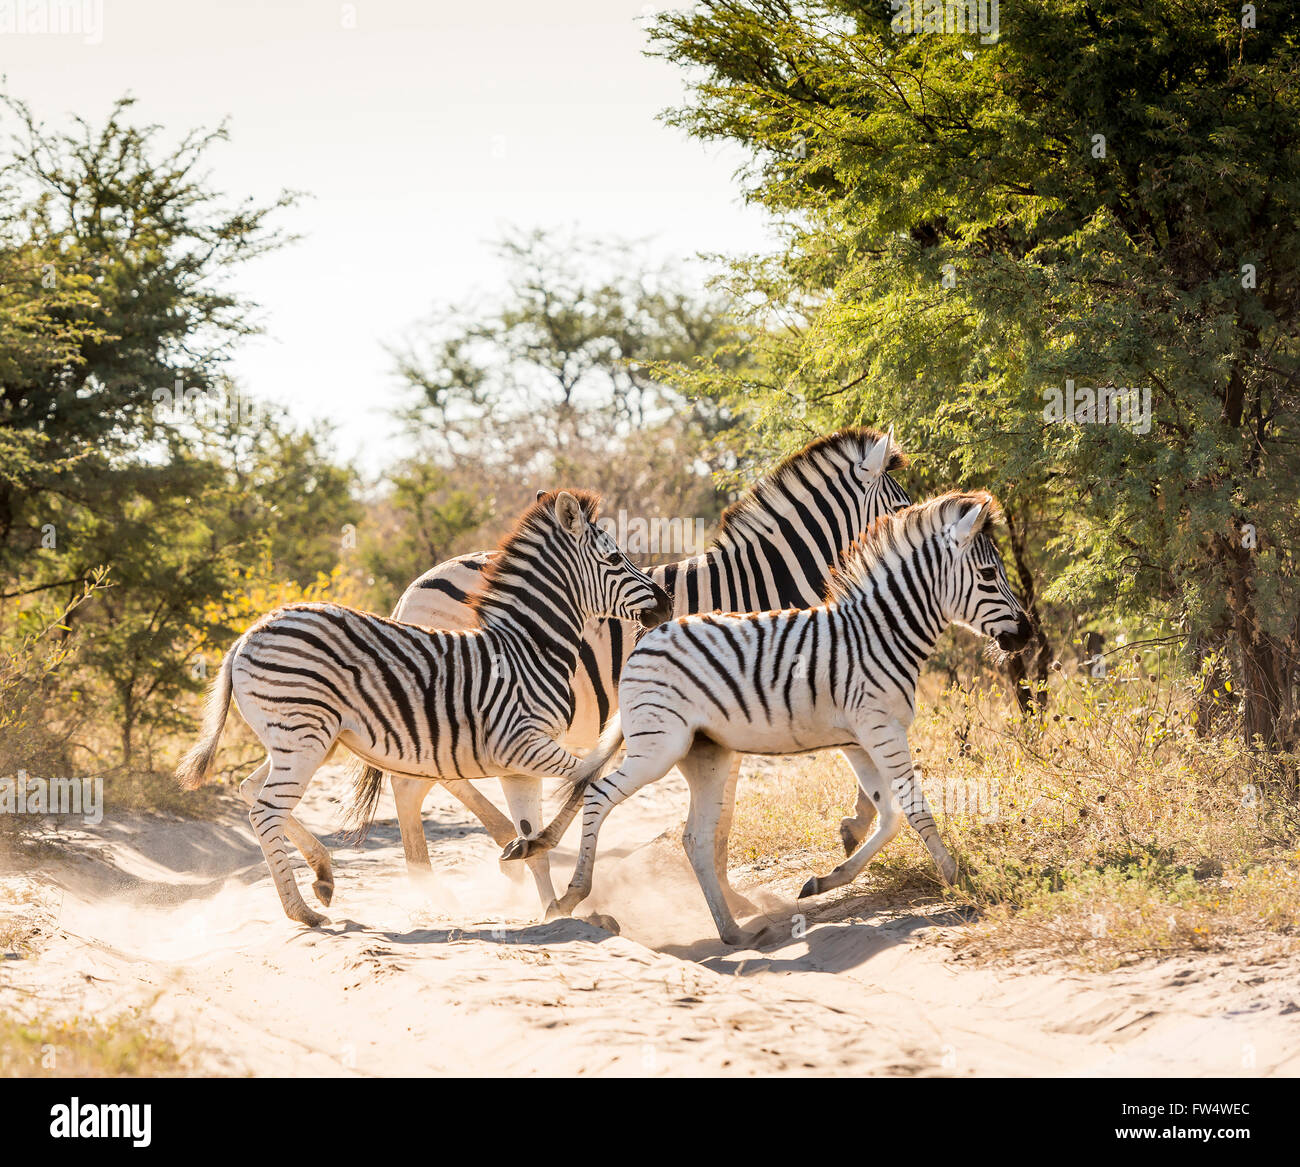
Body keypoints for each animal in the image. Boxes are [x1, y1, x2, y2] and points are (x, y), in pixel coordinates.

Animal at [175, 490, 672, 927]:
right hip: (304, 740)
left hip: (301, 741)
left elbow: (539, 827)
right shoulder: (522, 745)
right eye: (615, 559)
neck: (529, 648)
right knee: (265, 811)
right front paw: (562, 895)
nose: (668, 605)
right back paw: (304, 912)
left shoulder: (520, 766)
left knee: (251, 791)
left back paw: (323, 876)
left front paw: (551, 906)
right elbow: (589, 782)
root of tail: (247, 635)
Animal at [352, 427, 914, 912]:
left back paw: (498, 849)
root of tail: (413, 588)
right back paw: (438, 885)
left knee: (424, 780)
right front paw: (739, 897)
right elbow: (723, 817)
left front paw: (850, 827)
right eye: (902, 506)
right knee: (412, 785)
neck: (757, 590)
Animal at [510, 491, 1034, 946]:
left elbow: (887, 815)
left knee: (695, 838)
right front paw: (960, 880)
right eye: (990, 573)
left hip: (705, 753)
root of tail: (643, 642)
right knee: (598, 795)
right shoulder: (881, 729)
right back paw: (573, 896)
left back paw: (733, 933)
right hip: (659, 747)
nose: (1027, 634)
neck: (880, 633)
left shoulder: (859, 739)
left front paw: (826, 880)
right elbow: (915, 808)